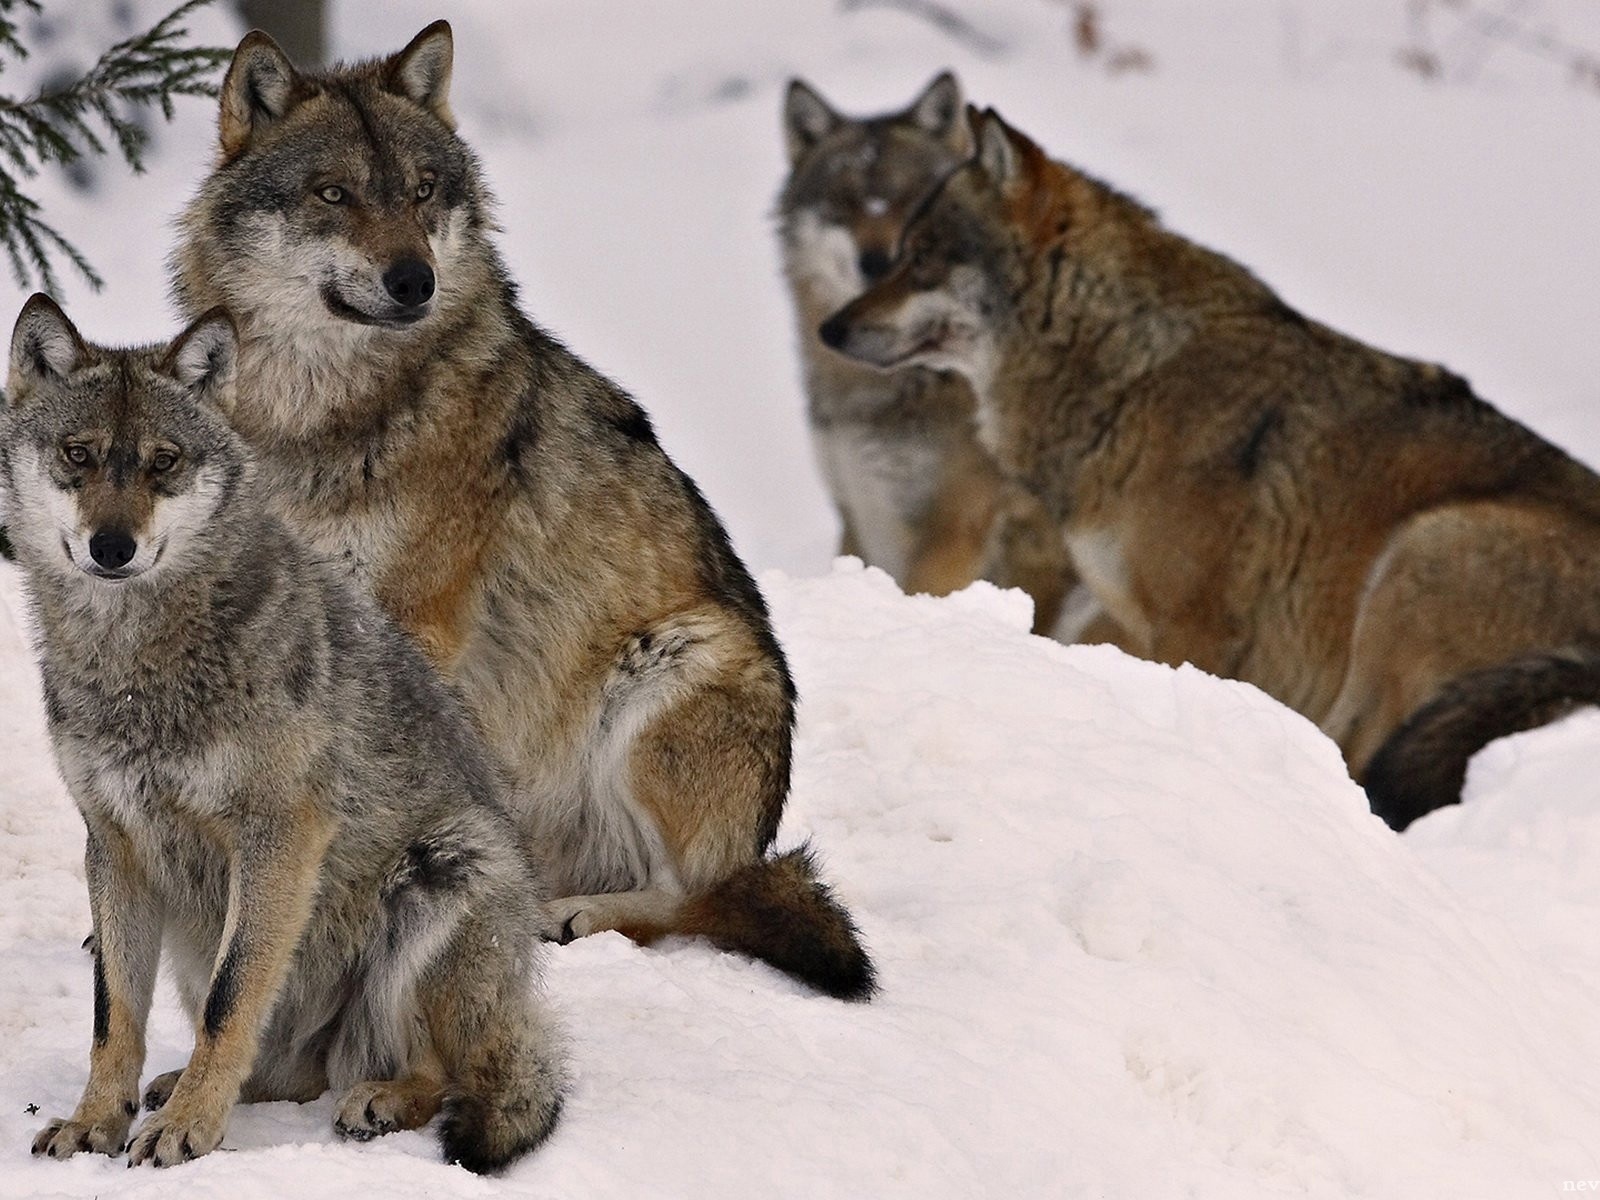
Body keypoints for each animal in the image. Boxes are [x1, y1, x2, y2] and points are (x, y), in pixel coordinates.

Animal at [5, 296, 565, 1172]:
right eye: (78, 455)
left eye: (164, 462)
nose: (112, 547)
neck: (137, 665)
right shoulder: (114, 844)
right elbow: (113, 1016)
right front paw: (97, 1122)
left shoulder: (279, 835)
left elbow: (231, 1002)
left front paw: (187, 1133)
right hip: (198, 937)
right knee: (289, 1073)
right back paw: (188, 1085)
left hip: (444, 870)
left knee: (440, 1073)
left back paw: (377, 1099)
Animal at [170, 23, 874, 998]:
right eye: (333, 194)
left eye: (422, 191)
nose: (414, 280)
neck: (316, 415)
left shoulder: (415, 622)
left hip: (676, 664)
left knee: (698, 901)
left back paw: (570, 916)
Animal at [821, 107, 1600, 830]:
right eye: (901, 253)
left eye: (923, 256)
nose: (830, 328)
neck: (1132, 371)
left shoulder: (1195, 626)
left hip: (1419, 558)